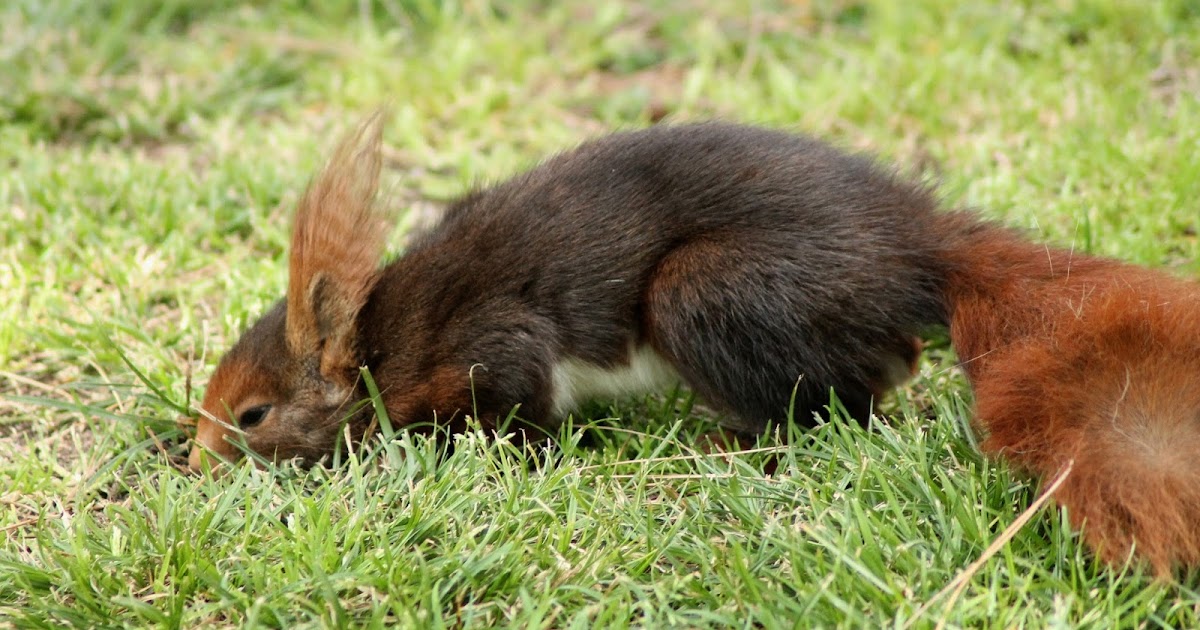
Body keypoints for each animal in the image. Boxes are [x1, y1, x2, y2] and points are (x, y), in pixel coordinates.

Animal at [188, 114, 1200, 576]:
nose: (195, 465)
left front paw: (505, 458)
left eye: (254, 414)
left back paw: (735, 441)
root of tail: (914, 248)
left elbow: (522, 401)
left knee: (850, 395)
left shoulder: (488, 341)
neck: (377, 345)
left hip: (705, 293)